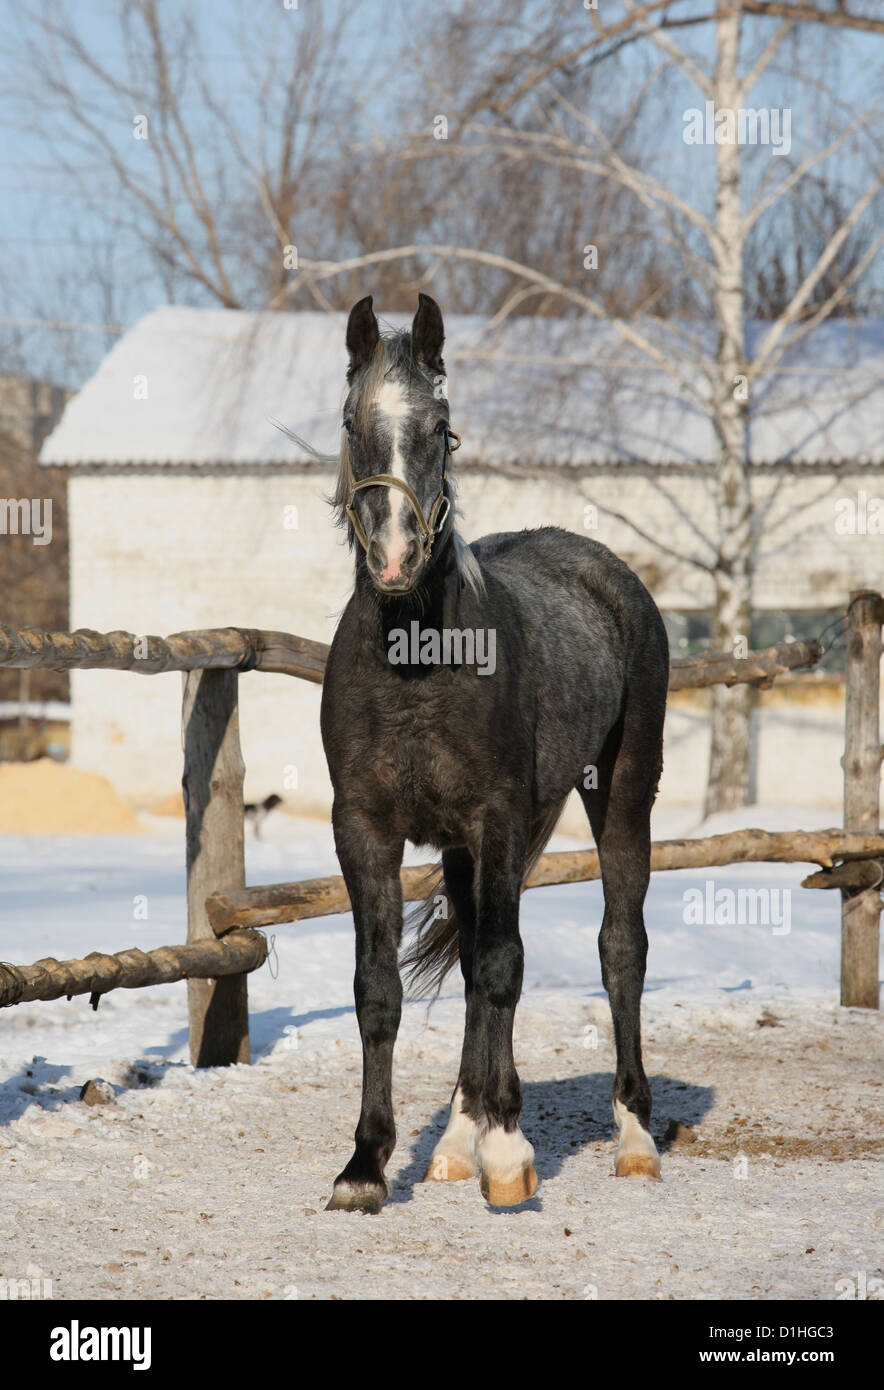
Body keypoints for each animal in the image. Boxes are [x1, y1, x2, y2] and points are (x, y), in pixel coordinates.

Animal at [318, 293, 669, 1211]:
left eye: (441, 430)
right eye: (351, 423)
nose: (396, 557)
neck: (414, 660)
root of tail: (605, 571)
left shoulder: (500, 817)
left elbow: (508, 967)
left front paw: (509, 1156)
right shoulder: (367, 831)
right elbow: (380, 989)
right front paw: (366, 1167)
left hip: (620, 798)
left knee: (619, 948)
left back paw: (633, 1138)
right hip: (463, 849)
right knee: (476, 961)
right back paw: (455, 1141)